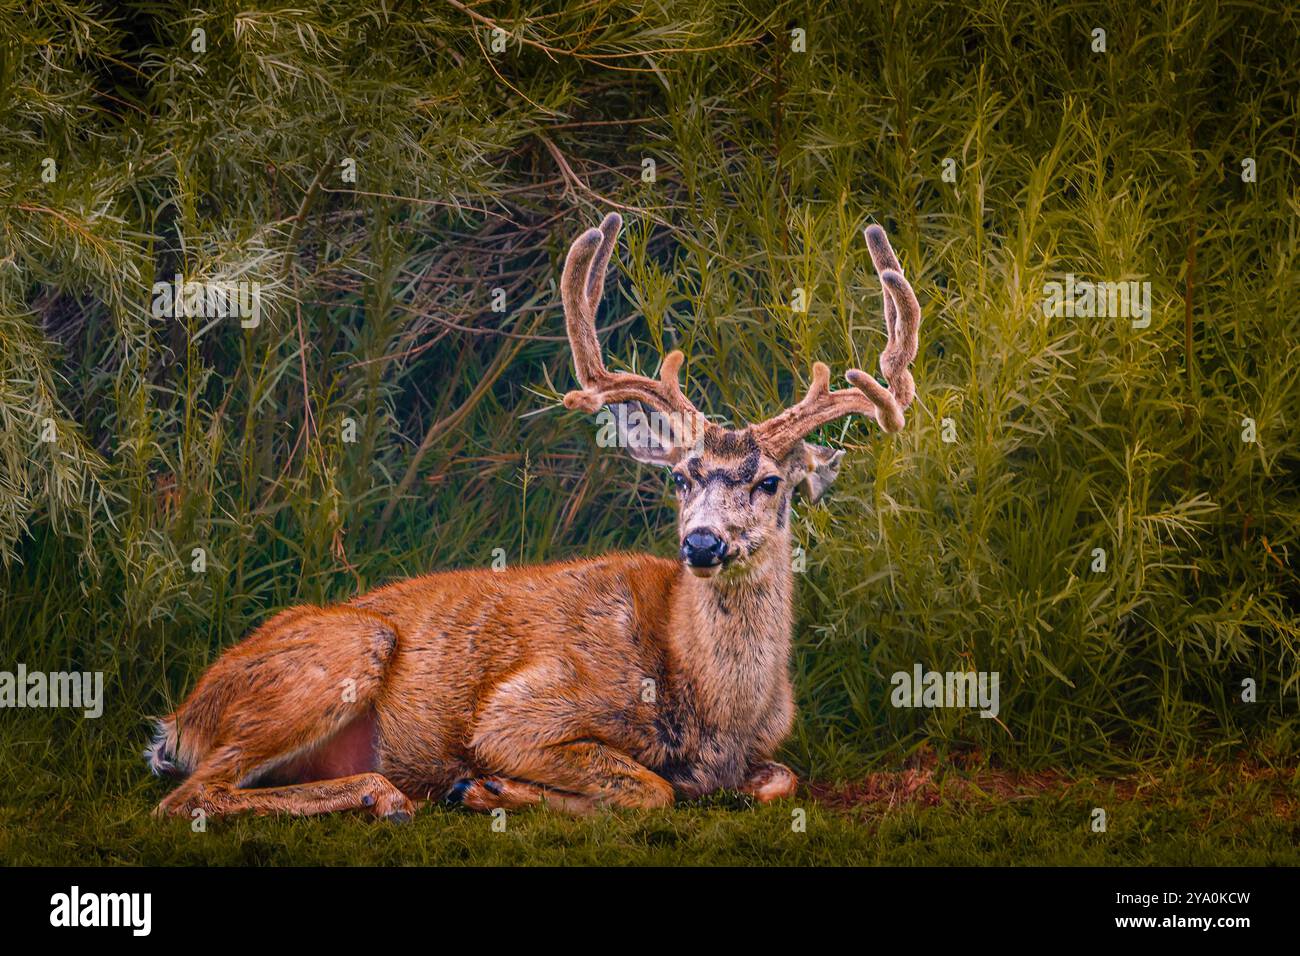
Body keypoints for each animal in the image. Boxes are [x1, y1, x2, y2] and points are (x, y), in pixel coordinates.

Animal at [147, 213, 921, 820]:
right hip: (348, 647)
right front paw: (487, 787)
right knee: (190, 795)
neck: (713, 707)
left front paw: (490, 790)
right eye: (679, 476)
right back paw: (387, 794)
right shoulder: (519, 708)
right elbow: (650, 788)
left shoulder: (768, 753)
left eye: (769, 481)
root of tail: (180, 719)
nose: (702, 542)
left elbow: (778, 779)